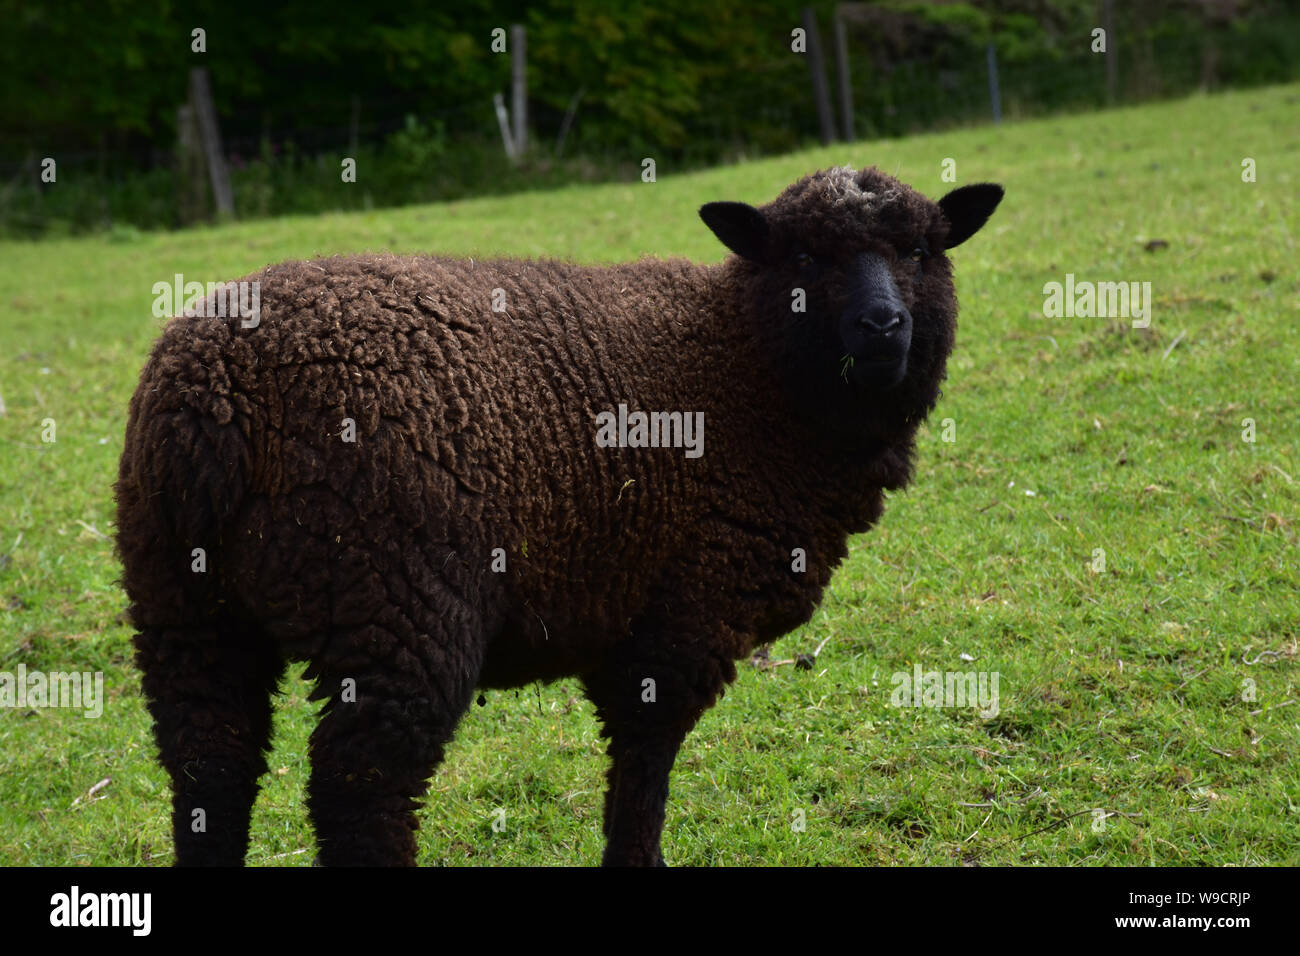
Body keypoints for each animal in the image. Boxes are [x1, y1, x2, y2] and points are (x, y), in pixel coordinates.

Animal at [116, 165, 1003, 866]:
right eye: (806, 257)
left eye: (920, 250)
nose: (883, 327)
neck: (746, 364)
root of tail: (214, 395)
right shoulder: (685, 611)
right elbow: (644, 765)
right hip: (392, 609)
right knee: (359, 794)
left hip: (183, 608)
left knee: (210, 771)